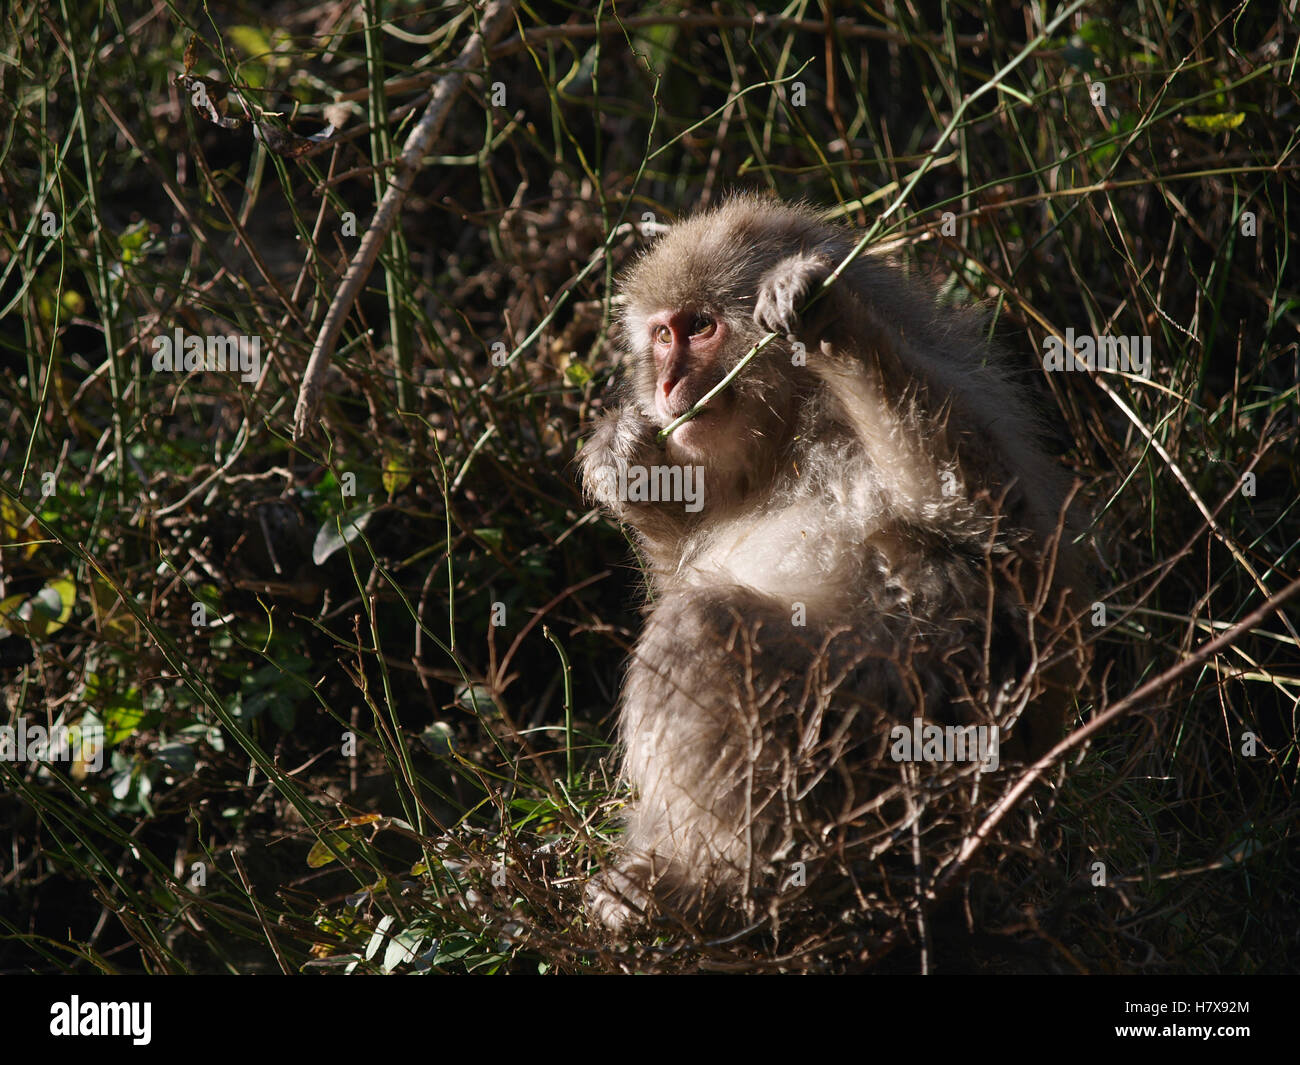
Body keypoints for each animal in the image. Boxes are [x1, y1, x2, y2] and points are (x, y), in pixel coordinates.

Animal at [579, 194, 1084, 935]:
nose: (667, 382)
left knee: (700, 626)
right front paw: (629, 463)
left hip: (877, 754)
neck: (787, 433)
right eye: (662, 335)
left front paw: (826, 318)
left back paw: (714, 888)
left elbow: (997, 531)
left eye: (700, 327)